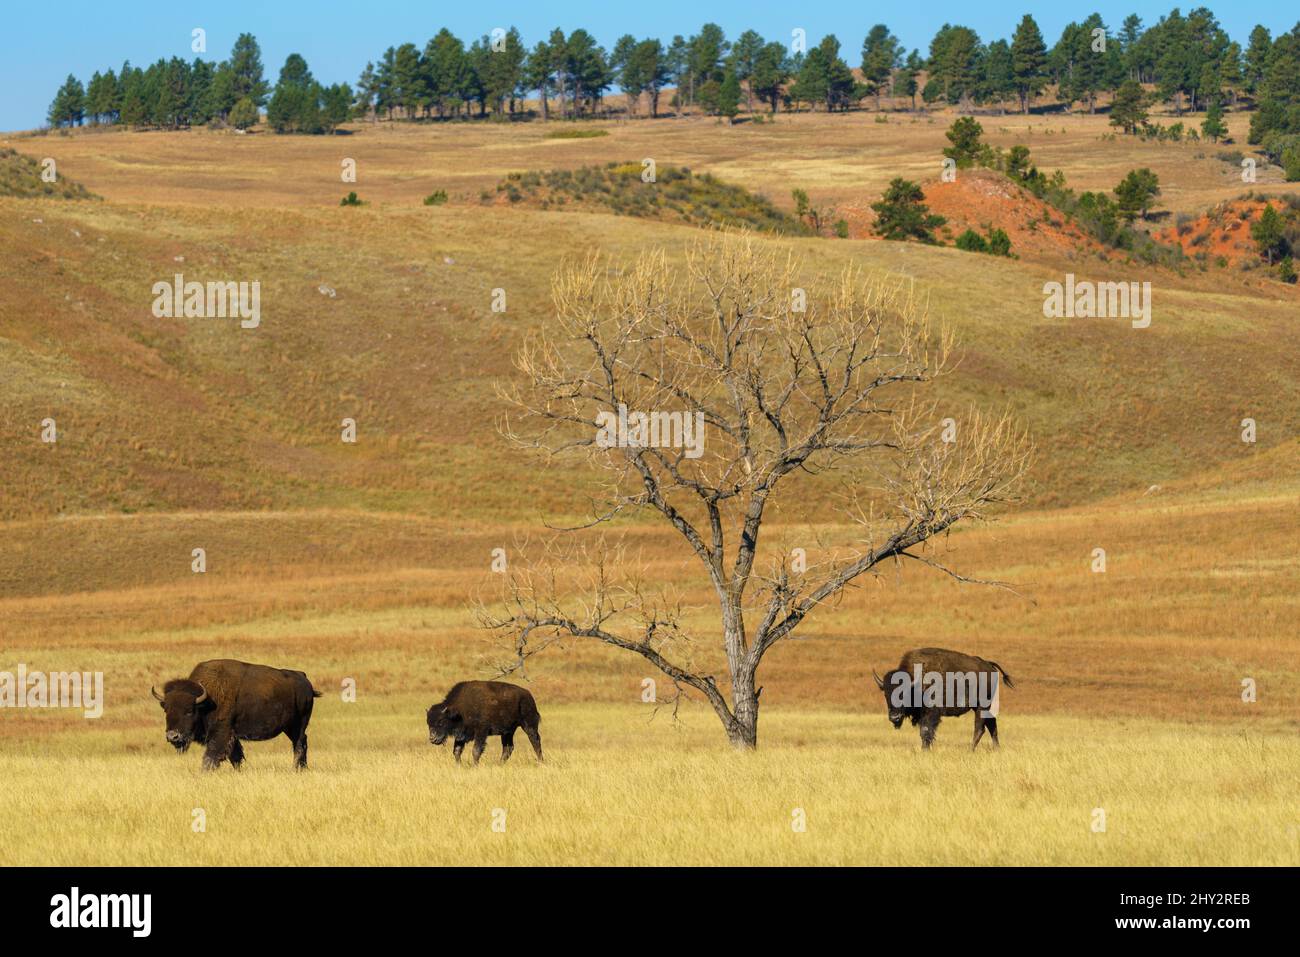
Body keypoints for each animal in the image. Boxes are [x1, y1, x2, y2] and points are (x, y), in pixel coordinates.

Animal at [152, 659, 322, 770]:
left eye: (189, 711)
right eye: (166, 710)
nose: (173, 736)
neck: (207, 700)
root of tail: (303, 678)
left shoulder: (221, 733)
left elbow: (211, 757)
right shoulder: (232, 736)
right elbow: (236, 756)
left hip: (298, 724)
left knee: (299, 744)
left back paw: (296, 768)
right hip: (289, 727)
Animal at [873, 647, 1014, 750]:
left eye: (903, 693)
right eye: (885, 694)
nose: (894, 717)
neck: (916, 682)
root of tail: (988, 665)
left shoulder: (931, 712)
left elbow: (926, 731)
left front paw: (925, 750)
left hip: (981, 706)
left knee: (980, 728)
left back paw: (970, 750)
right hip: (979, 707)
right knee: (992, 724)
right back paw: (996, 749)